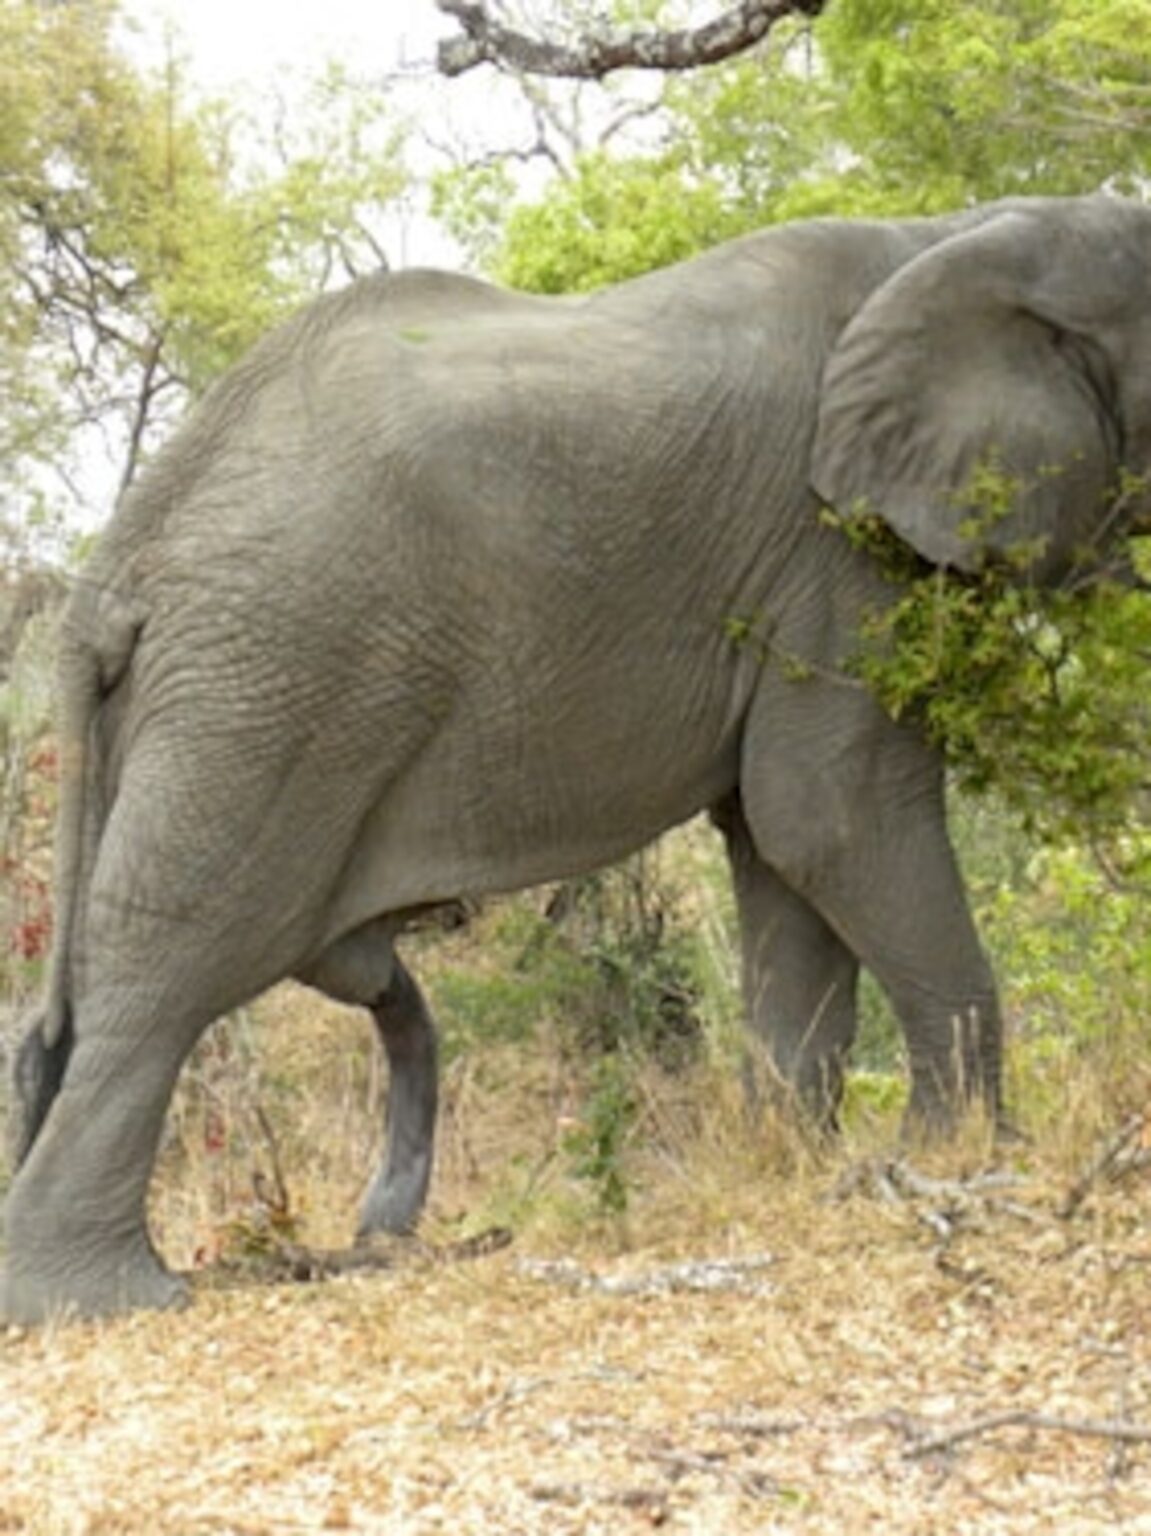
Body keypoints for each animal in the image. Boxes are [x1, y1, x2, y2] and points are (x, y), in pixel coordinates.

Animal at [5, 193, 1151, 1324]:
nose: (382, 1230)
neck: (959, 234)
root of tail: (120, 559)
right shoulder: (834, 548)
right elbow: (830, 812)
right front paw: (957, 1154)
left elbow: (777, 848)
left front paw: (789, 1162)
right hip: (275, 677)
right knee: (179, 955)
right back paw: (104, 1300)